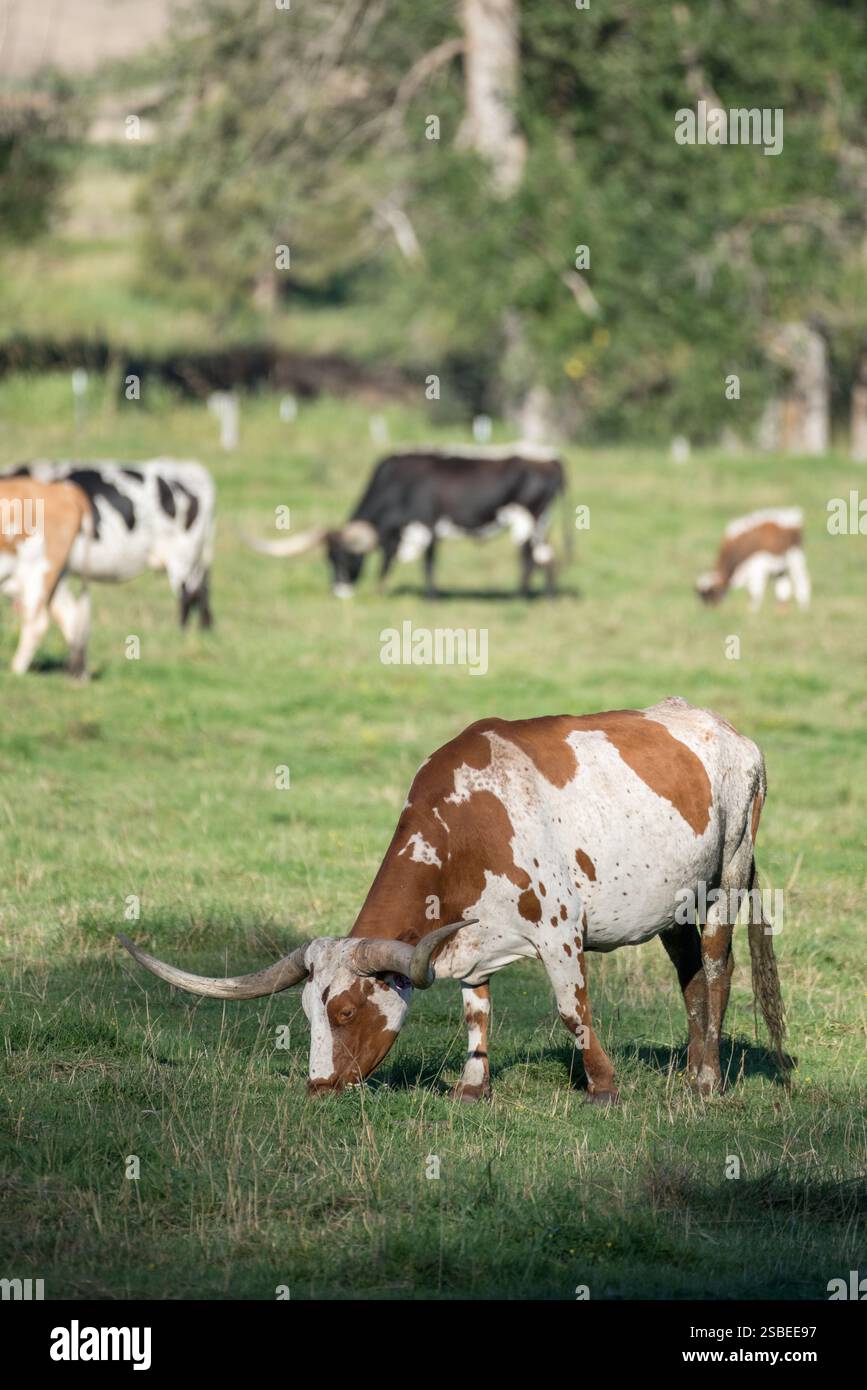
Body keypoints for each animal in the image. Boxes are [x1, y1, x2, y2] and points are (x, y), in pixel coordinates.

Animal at [0, 477, 92, 675]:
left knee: (37, 623)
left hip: (37, 572)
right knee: (70, 616)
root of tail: (63, 489)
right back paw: (77, 674)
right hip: (56, 575)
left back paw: (16, 671)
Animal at [5, 457, 216, 631]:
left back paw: (181, 632)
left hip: (182, 557)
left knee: (189, 594)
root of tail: (194, 471)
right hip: (195, 558)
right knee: (202, 590)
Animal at [119, 697, 785, 1102]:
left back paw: (707, 1078)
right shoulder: (468, 938)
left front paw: (603, 1088)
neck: (468, 823)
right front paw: (472, 1087)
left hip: (727, 875)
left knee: (718, 965)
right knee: (690, 971)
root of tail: (731, 733)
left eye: (345, 1013)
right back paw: (694, 1066)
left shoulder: (560, 929)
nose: (319, 1088)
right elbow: (475, 1009)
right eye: (307, 1014)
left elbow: (572, 1010)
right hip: (674, 901)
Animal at [244, 443, 566, 598]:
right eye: (328, 559)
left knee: (536, 557)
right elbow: (390, 562)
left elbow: (426, 563)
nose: (338, 591)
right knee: (540, 557)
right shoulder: (402, 533)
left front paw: (429, 597)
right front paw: (382, 590)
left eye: (345, 558)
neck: (395, 483)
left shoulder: (426, 524)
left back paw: (524, 598)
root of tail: (550, 458)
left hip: (531, 518)